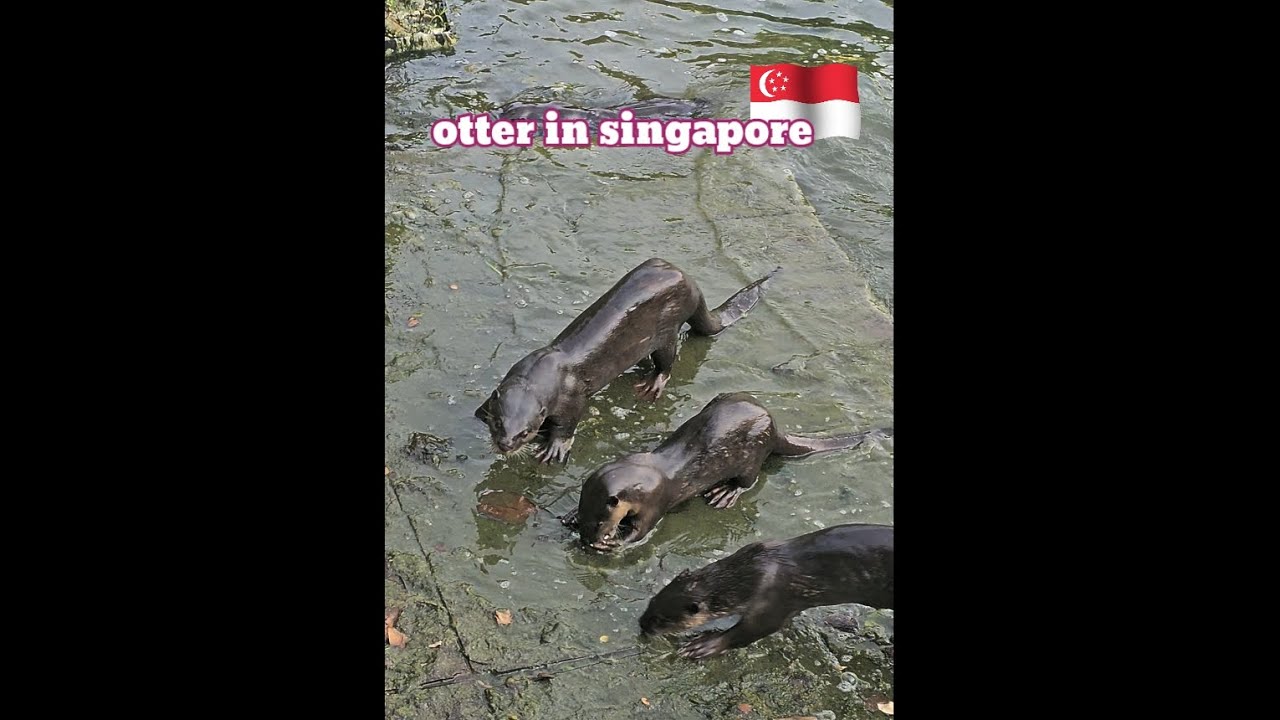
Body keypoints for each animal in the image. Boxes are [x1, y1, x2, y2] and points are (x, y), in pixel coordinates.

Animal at [475, 259, 778, 464]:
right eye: (498, 423)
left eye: (526, 432)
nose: (505, 445)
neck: (543, 371)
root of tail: (690, 284)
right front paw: (480, 412)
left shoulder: (573, 396)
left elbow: (568, 424)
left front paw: (556, 446)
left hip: (667, 331)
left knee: (668, 361)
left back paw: (653, 384)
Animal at [561, 392, 892, 550]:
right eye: (588, 517)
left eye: (602, 521)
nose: (588, 539)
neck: (644, 473)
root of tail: (774, 425)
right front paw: (570, 516)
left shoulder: (655, 502)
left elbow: (642, 530)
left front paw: (615, 542)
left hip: (753, 452)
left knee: (750, 479)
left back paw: (726, 493)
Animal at [639, 523, 894, 659]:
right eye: (651, 602)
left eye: (661, 620)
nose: (642, 624)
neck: (754, 572)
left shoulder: (773, 599)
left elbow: (753, 630)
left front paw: (704, 645)